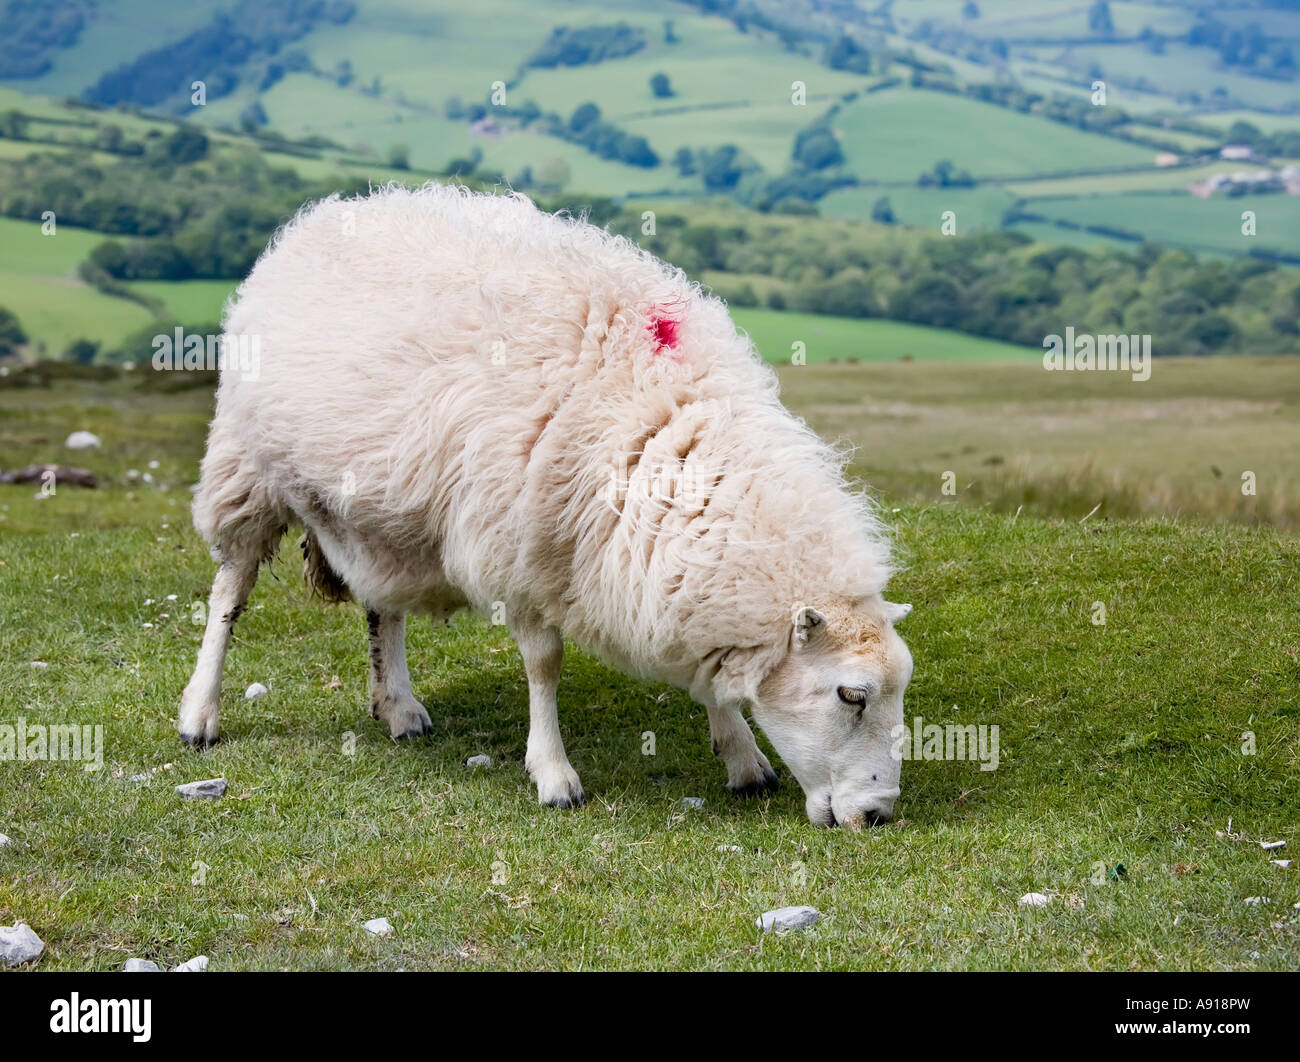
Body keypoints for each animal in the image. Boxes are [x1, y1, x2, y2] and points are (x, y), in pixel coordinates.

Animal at [179, 183, 913, 827]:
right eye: (851, 695)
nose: (878, 815)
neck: (663, 425)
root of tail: (321, 216)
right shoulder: (522, 550)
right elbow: (545, 665)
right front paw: (555, 775)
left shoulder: (660, 571)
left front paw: (740, 753)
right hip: (247, 471)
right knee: (229, 594)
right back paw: (199, 716)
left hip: (380, 512)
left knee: (381, 607)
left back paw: (398, 706)